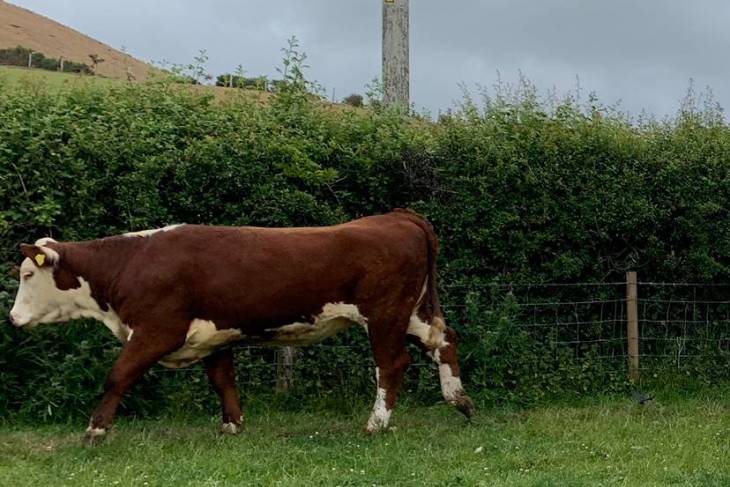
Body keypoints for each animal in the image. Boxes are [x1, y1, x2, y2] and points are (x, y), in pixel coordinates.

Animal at [8, 209, 474, 444]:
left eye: (27, 275)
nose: (13, 318)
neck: (132, 263)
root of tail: (397, 216)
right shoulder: (213, 336)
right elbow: (223, 381)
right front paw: (231, 424)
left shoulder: (157, 330)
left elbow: (118, 375)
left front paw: (95, 429)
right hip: (413, 311)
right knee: (444, 340)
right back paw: (460, 401)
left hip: (385, 315)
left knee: (391, 364)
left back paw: (377, 423)